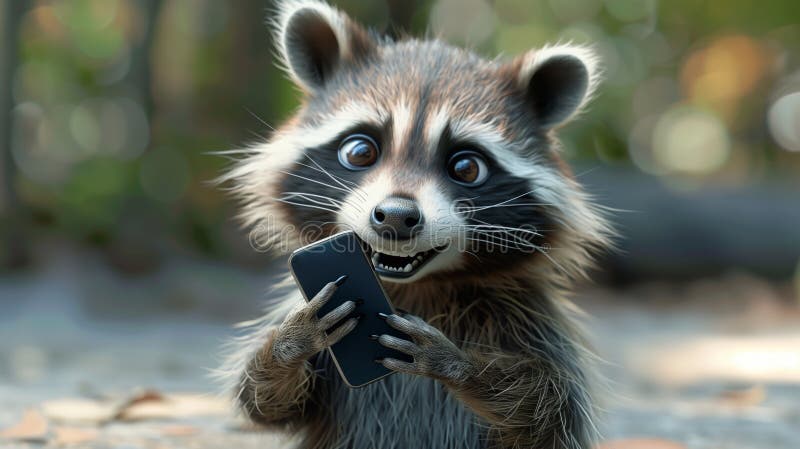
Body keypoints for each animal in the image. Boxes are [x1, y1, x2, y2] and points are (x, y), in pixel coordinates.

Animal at [219, 1, 612, 448]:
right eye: (359, 151)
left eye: (466, 167)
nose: (395, 216)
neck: (415, 288)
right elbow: (264, 401)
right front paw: (291, 342)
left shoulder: (533, 323)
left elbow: (548, 407)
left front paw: (457, 363)